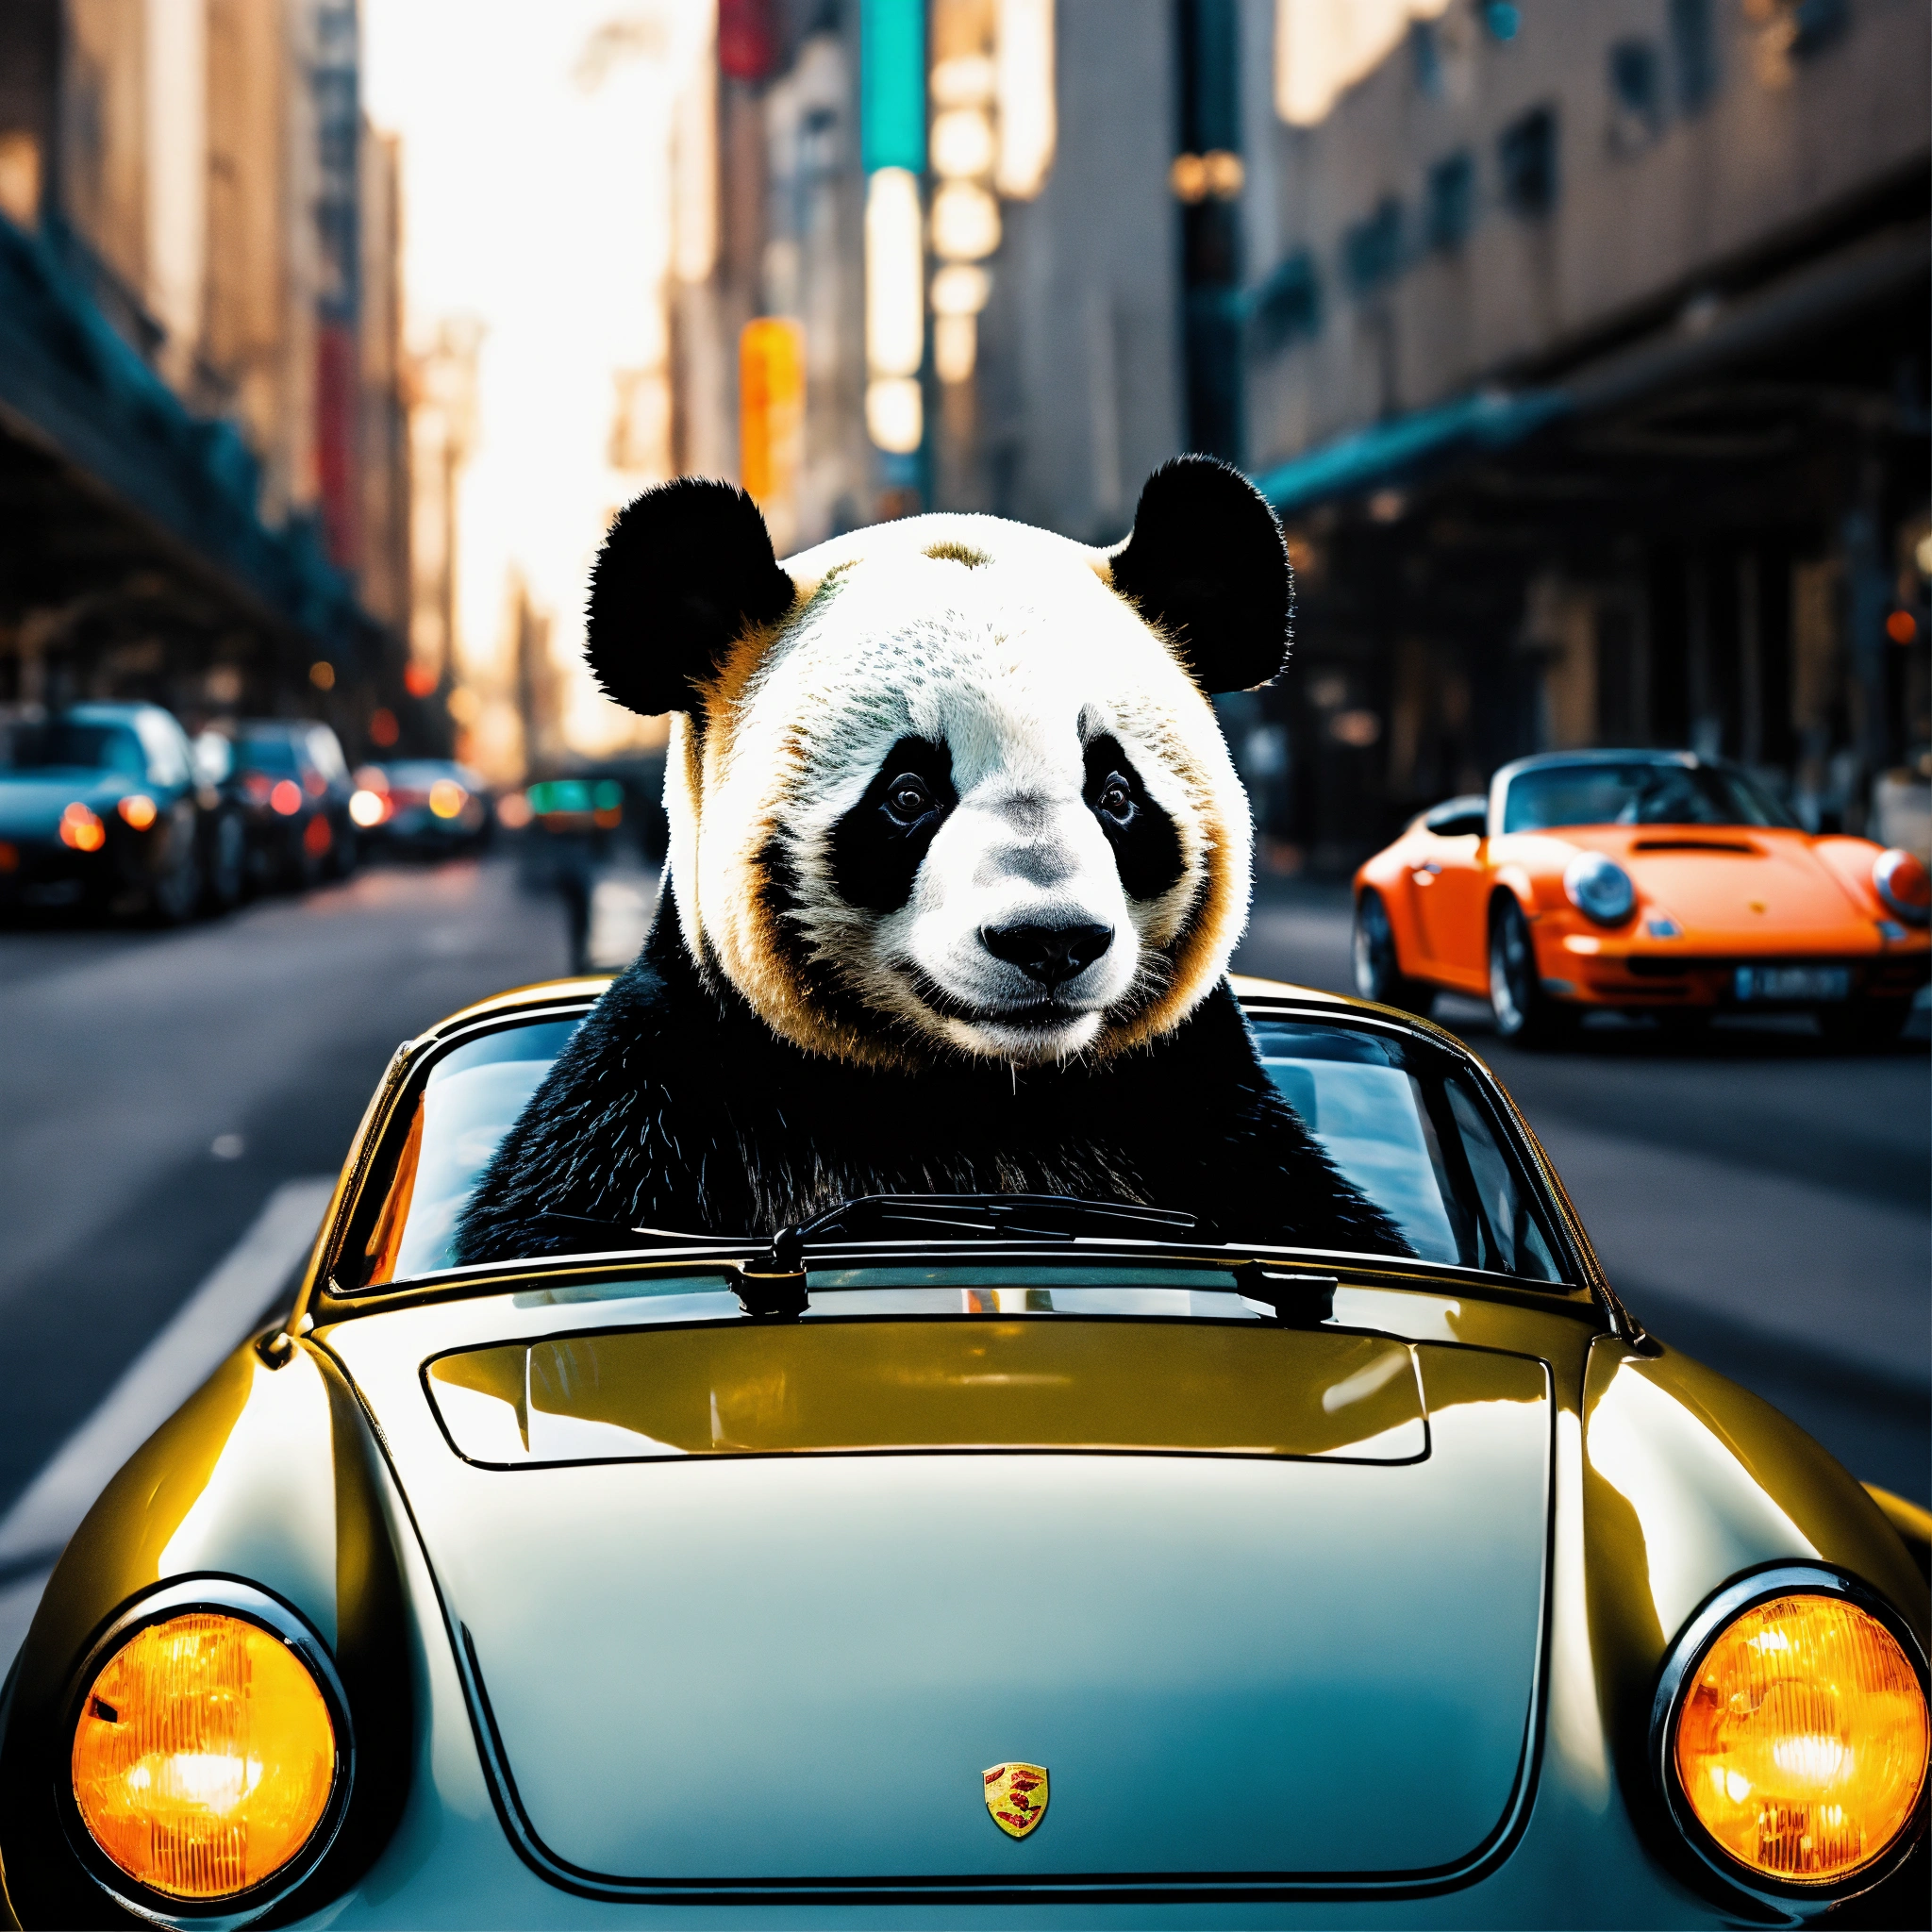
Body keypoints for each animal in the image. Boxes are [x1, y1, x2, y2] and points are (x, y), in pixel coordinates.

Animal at [454, 458, 1405, 1263]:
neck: (980, 1104)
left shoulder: (1207, 1125)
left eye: (1116, 793)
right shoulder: (662, 1112)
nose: (1050, 941)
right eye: (907, 795)